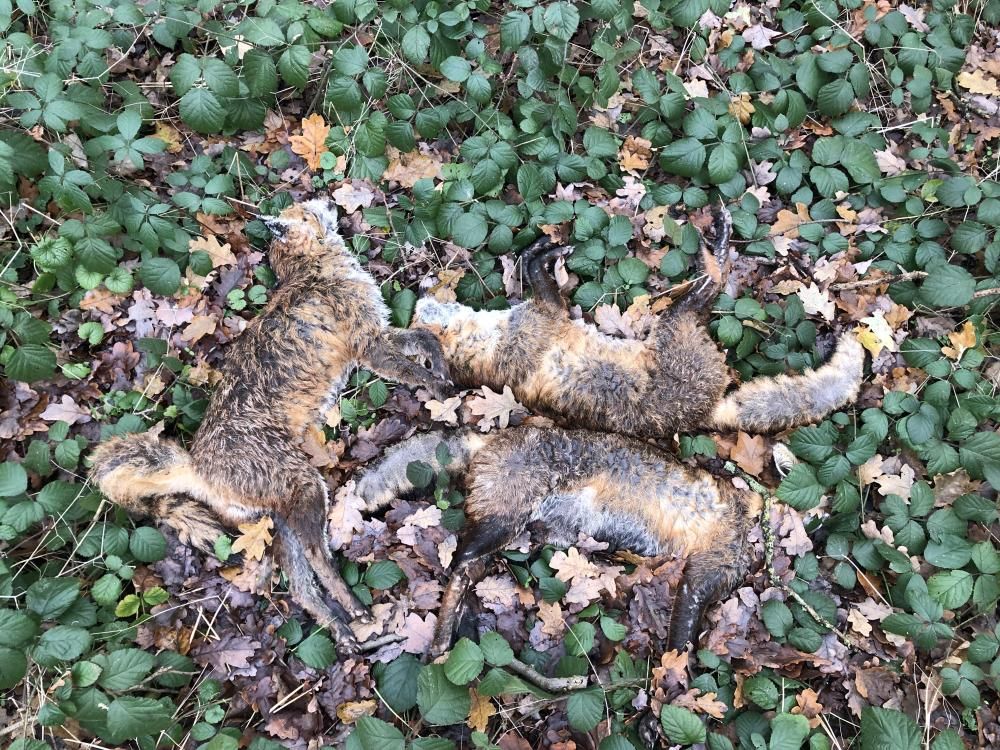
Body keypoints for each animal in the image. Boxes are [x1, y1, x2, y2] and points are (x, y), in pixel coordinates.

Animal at [90, 199, 452, 650]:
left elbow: (426, 338)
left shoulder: (379, 332)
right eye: (305, 208)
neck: (312, 269)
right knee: (318, 562)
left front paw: (441, 366)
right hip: (308, 489)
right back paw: (354, 609)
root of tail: (197, 467)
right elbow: (414, 366)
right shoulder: (369, 345)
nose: (328, 198)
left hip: (283, 520)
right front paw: (440, 388)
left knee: (301, 587)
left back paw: (341, 628)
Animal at [345, 426, 761, 656]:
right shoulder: (700, 578)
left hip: (533, 532)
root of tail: (494, 437)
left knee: (466, 571)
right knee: (459, 562)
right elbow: (683, 642)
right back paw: (447, 636)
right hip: (502, 524)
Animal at [410, 207, 865, 439]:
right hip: (677, 327)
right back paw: (718, 237)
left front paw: (545, 244)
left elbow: (528, 261)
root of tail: (704, 414)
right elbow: (537, 273)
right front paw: (549, 252)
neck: (491, 352)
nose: (418, 296)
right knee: (710, 282)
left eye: (417, 320)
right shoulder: (546, 315)